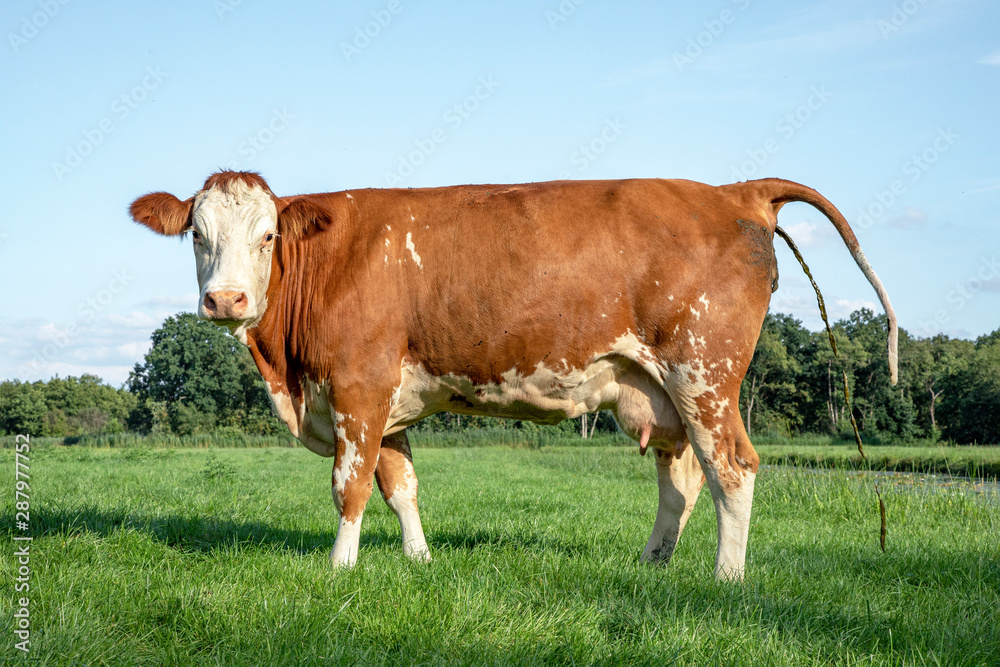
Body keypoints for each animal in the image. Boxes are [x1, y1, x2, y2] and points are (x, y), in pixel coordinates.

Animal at [130, 171, 897, 580]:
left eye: (267, 236)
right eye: (197, 234)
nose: (226, 300)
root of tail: (732, 191)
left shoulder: (358, 386)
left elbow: (350, 486)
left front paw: (340, 568)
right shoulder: (389, 400)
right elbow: (400, 484)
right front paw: (419, 559)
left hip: (704, 373)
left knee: (731, 469)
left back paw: (725, 576)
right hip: (660, 390)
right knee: (679, 480)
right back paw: (652, 563)